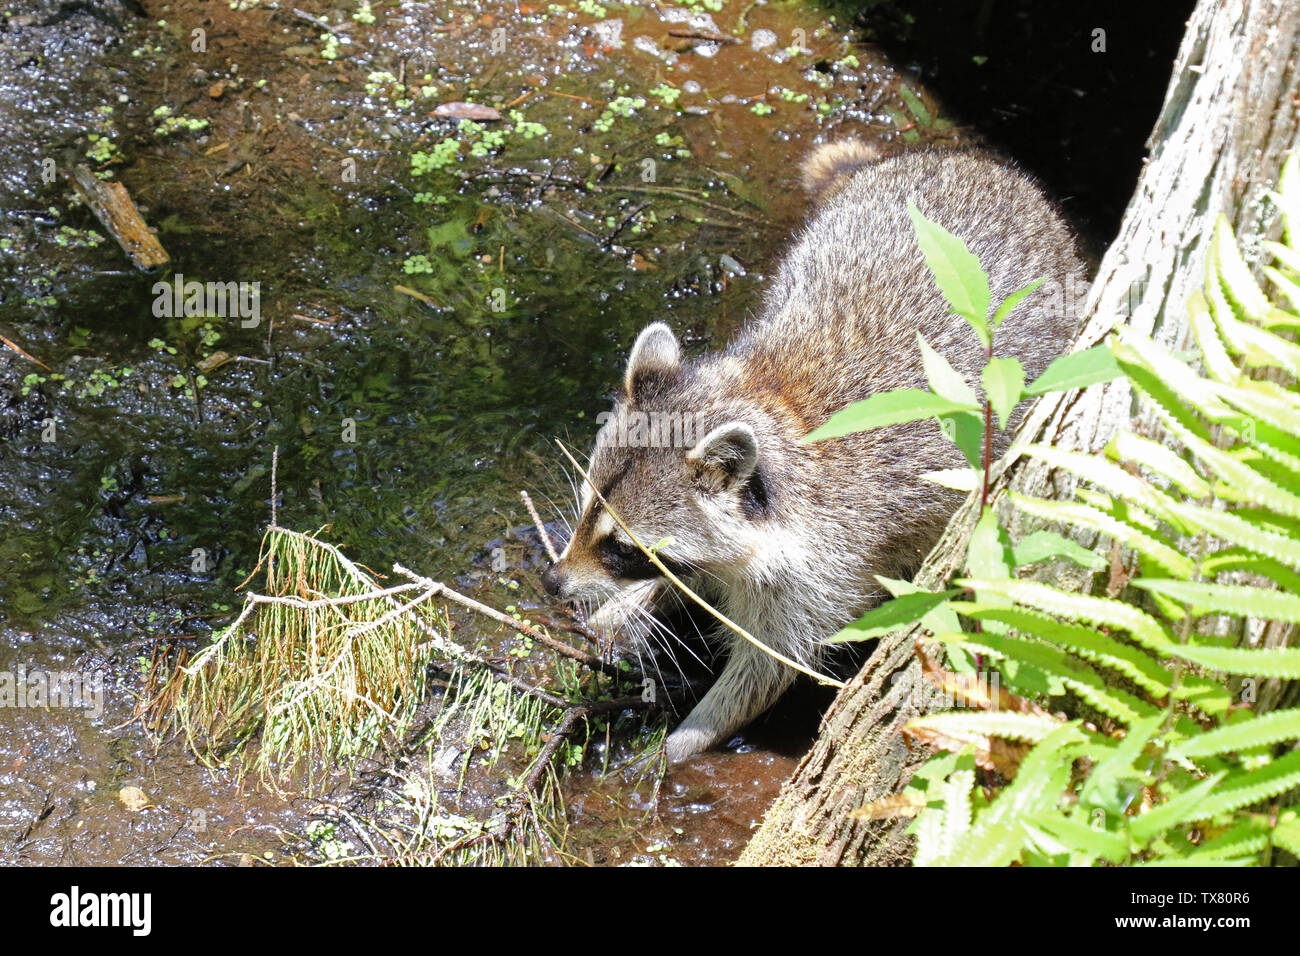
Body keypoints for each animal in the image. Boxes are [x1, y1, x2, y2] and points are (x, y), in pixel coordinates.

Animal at [542, 141, 1088, 762]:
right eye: (587, 509)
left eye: (624, 548)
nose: (553, 583)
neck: (768, 404)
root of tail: (982, 166)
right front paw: (635, 601)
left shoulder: (830, 563)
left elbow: (772, 662)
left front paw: (689, 734)